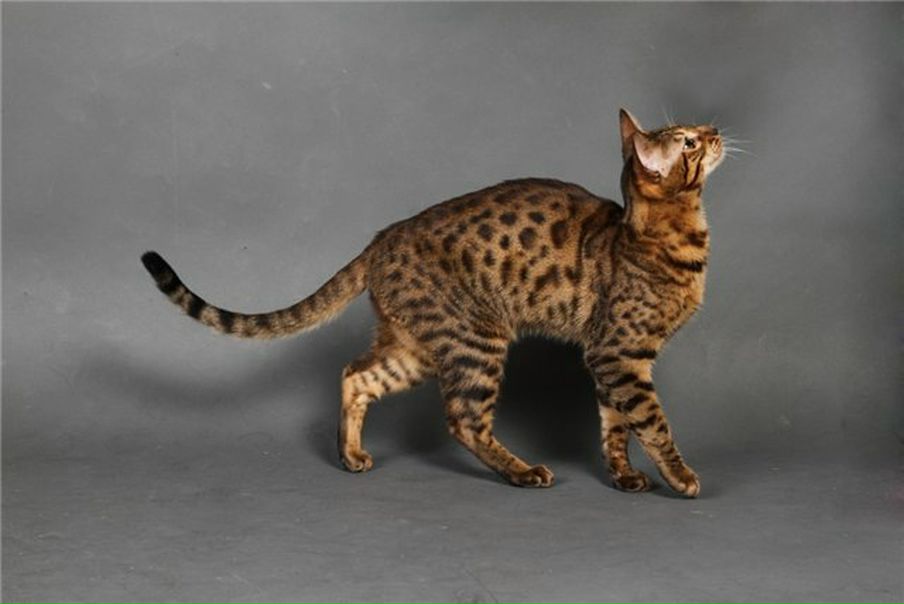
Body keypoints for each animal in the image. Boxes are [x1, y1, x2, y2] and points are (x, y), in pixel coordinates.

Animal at [141, 109, 724, 497]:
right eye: (689, 142)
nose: (716, 131)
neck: (670, 236)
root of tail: (382, 238)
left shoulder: (610, 359)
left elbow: (615, 425)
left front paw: (623, 476)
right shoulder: (619, 353)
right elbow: (651, 420)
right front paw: (680, 476)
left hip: (417, 347)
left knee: (355, 374)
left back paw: (350, 454)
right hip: (477, 341)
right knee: (463, 420)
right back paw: (521, 471)